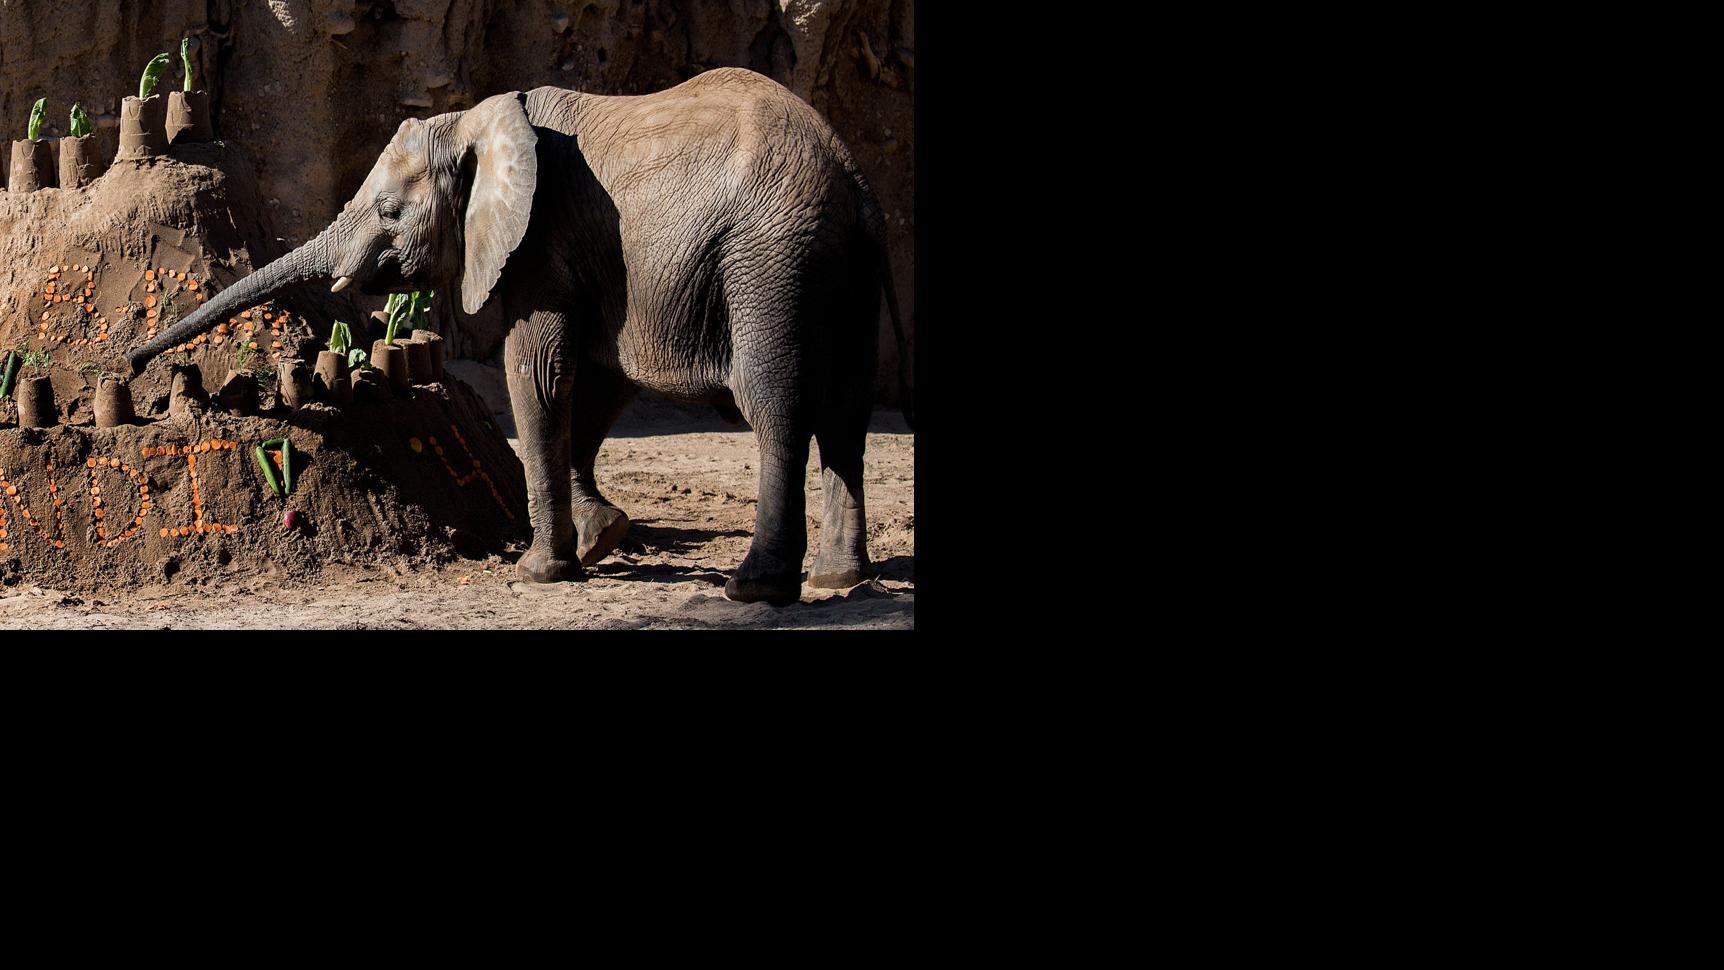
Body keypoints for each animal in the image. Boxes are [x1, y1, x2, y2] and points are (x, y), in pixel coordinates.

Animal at [127, 68, 911, 606]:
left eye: (389, 211)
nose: (133, 364)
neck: (477, 120)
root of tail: (858, 183)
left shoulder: (544, 237)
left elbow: (536, 369)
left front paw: (538, 571)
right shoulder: (598, 260)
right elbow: (599, 376)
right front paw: (600, 540)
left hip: (772, 257)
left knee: (776, 404)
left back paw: (755, 589)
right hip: (834, 271)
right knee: (847, 410)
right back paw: (839, 578)